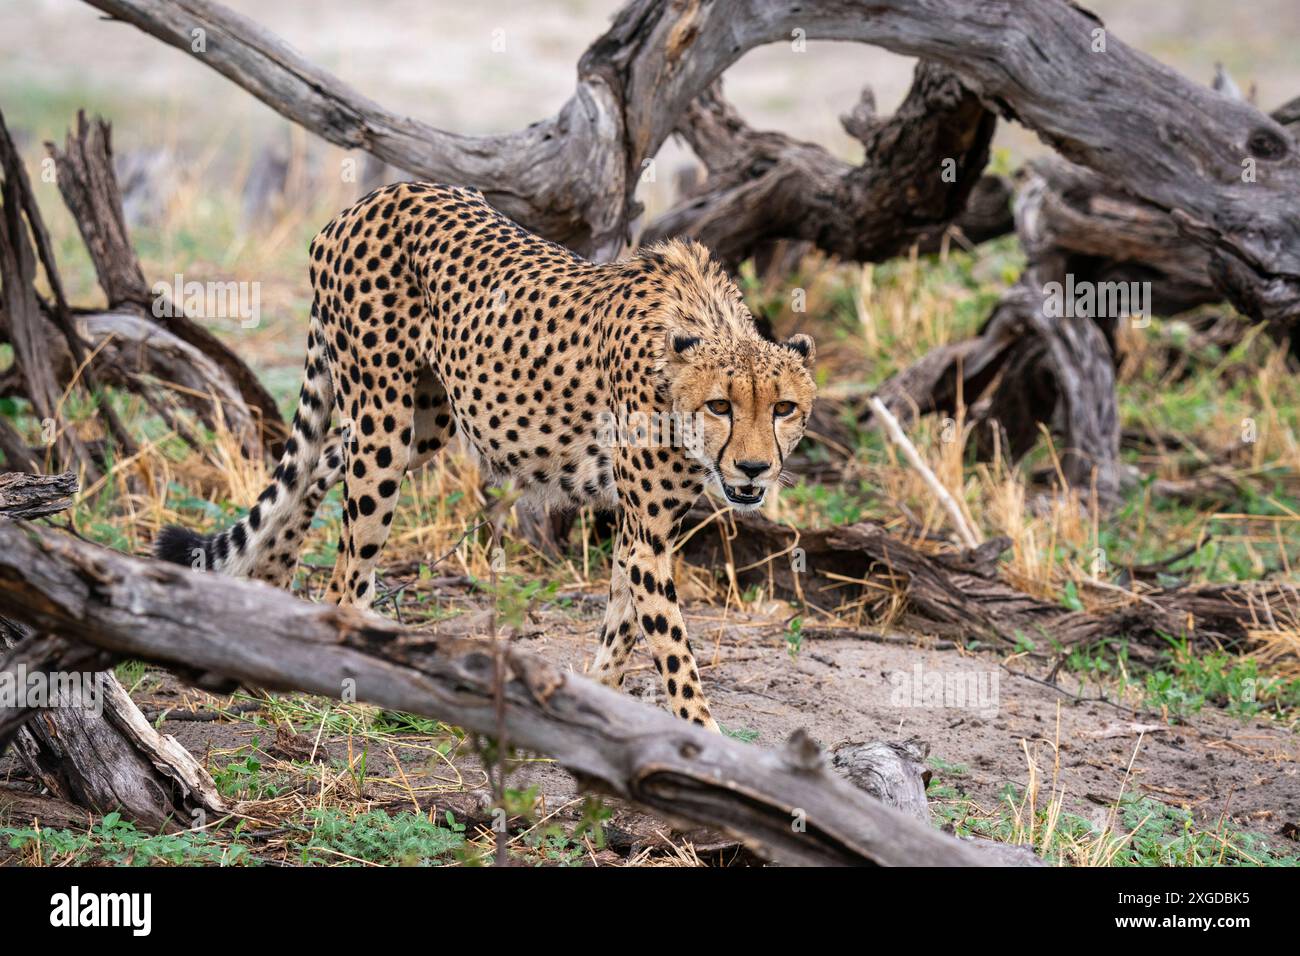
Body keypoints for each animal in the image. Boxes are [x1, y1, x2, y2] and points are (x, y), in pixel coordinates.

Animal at [155, 182, 817, 730]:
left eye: (783, 408)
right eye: (720, 406)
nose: (754, 469)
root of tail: (370, 198)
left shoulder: (645, 529)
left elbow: (623, 624)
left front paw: (598, 706)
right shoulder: (647, 531)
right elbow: (674, 651)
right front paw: (708, 751)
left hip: (425, 422)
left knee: (322, 459)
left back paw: (274, 577)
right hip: (384, 422)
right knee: (347, 568)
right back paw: (347, 687)